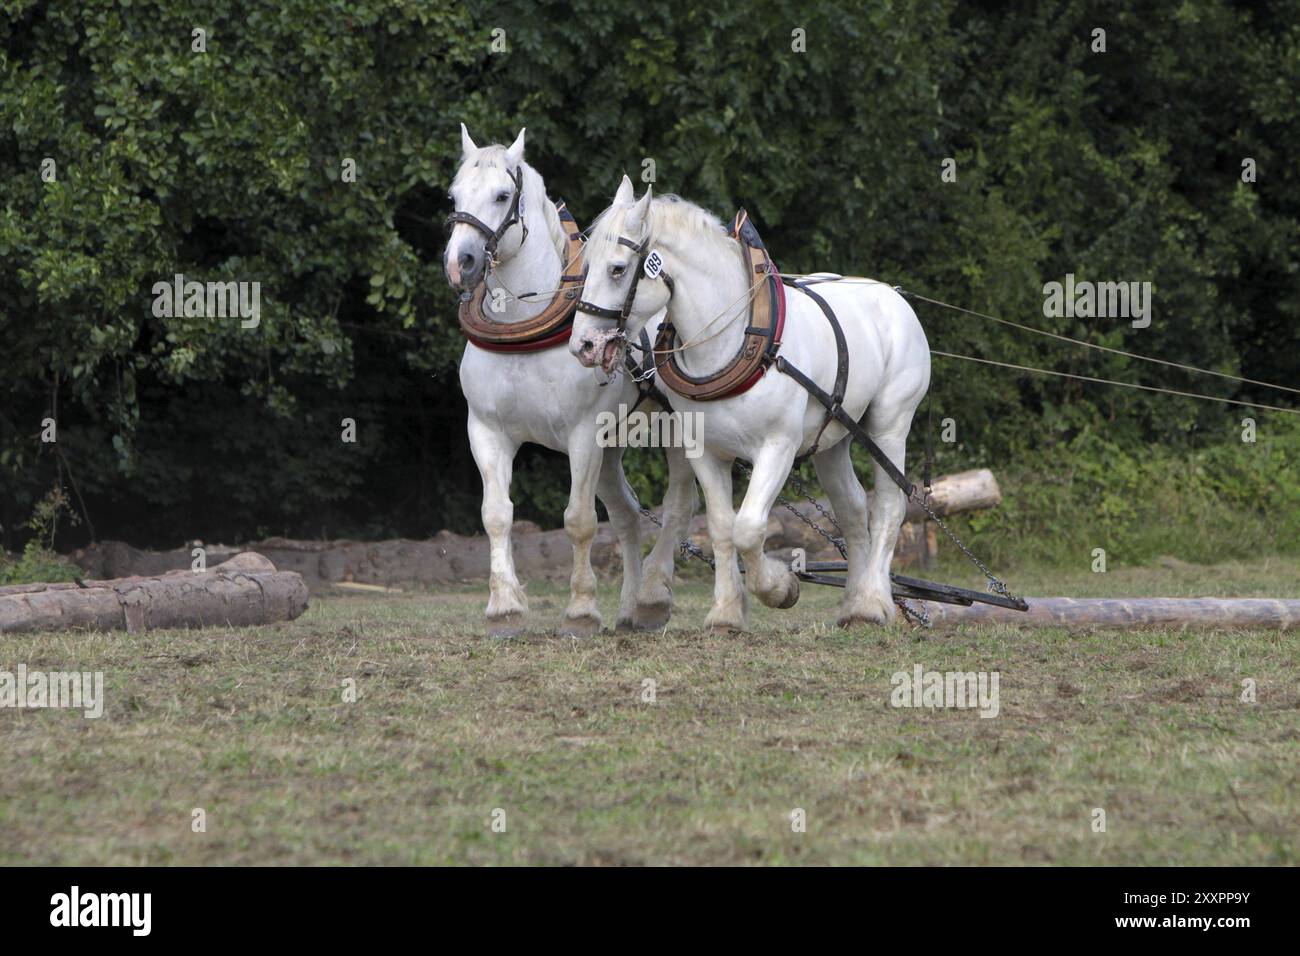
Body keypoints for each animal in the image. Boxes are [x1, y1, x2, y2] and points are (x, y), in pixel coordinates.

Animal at [444, 128, 697, 636]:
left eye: (502, 196)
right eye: (454, 196)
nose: (460, 263)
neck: (523, 327)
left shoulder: (583, 434)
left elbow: (579, 521)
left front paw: (580, 611)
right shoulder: (486, 431)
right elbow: (495, 515)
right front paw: (504, 607)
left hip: (675, 432)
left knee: (678, 504)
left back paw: (652, 598)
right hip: (612, 447)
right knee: (626, 516)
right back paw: (628, 608)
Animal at [569, 177, 931, 631]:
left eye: (617, 269)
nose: (584, 345)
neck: (733, 340)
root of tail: (893, 296)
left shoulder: (778, 447)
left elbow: (749, 527)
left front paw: (779, 588)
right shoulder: (705, 451)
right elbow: (723, 527)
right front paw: (726, 612)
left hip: (889, 424)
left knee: (888, 506)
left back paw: (873, 603)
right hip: (833, 438)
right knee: (851, 509)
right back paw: (854, 603)